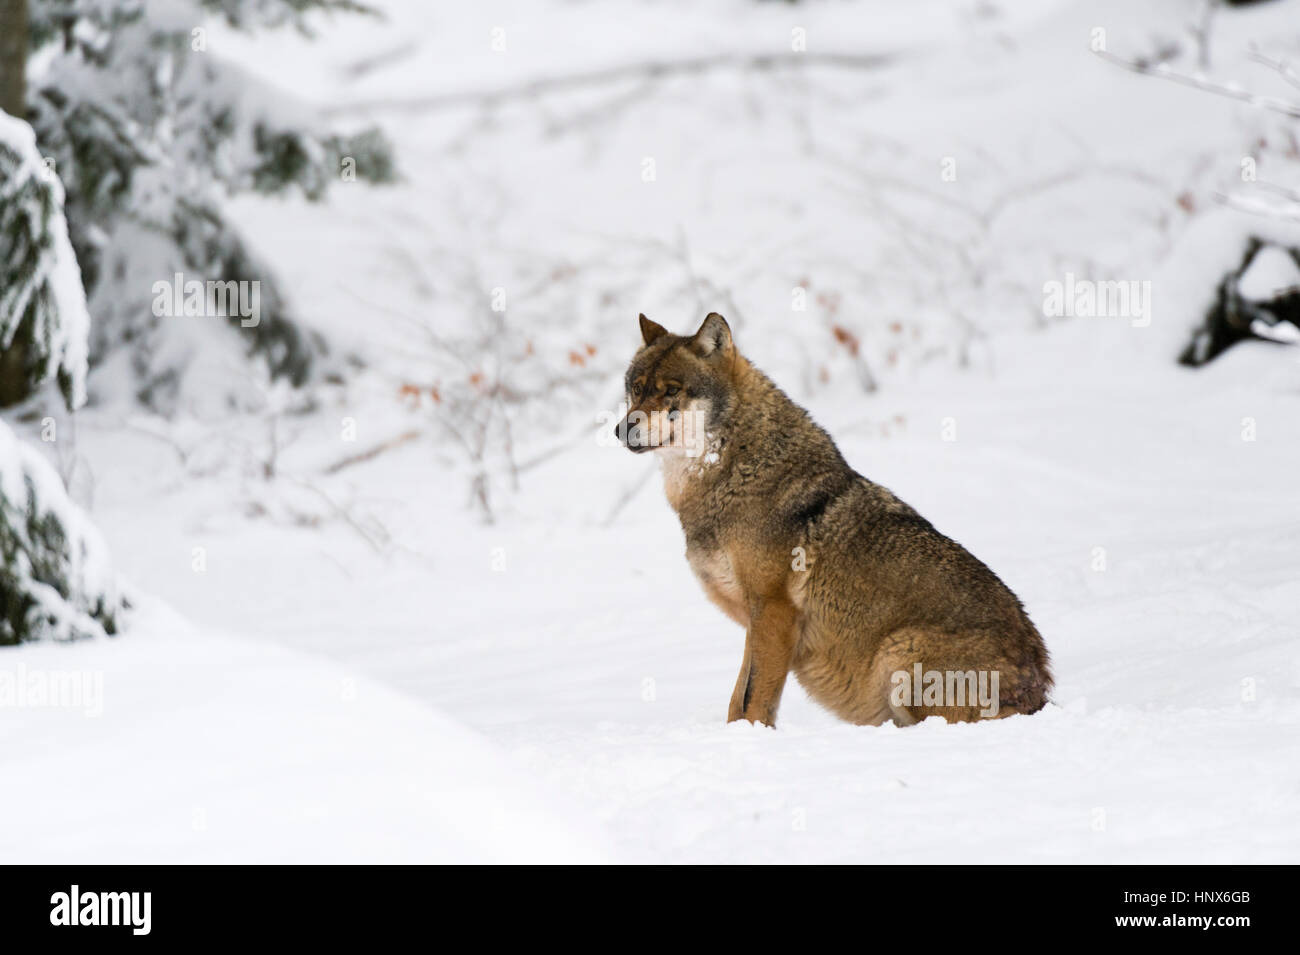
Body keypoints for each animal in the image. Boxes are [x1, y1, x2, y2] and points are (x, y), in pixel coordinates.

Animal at [615, 312, 1052, 728]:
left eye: (671, 390)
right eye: (635, 390)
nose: (622, 429)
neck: (732, 473)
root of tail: (1041, 687)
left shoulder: (774, 612)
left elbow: (754, 701)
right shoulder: (755, 621)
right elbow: (737, 702)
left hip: (897, 653)